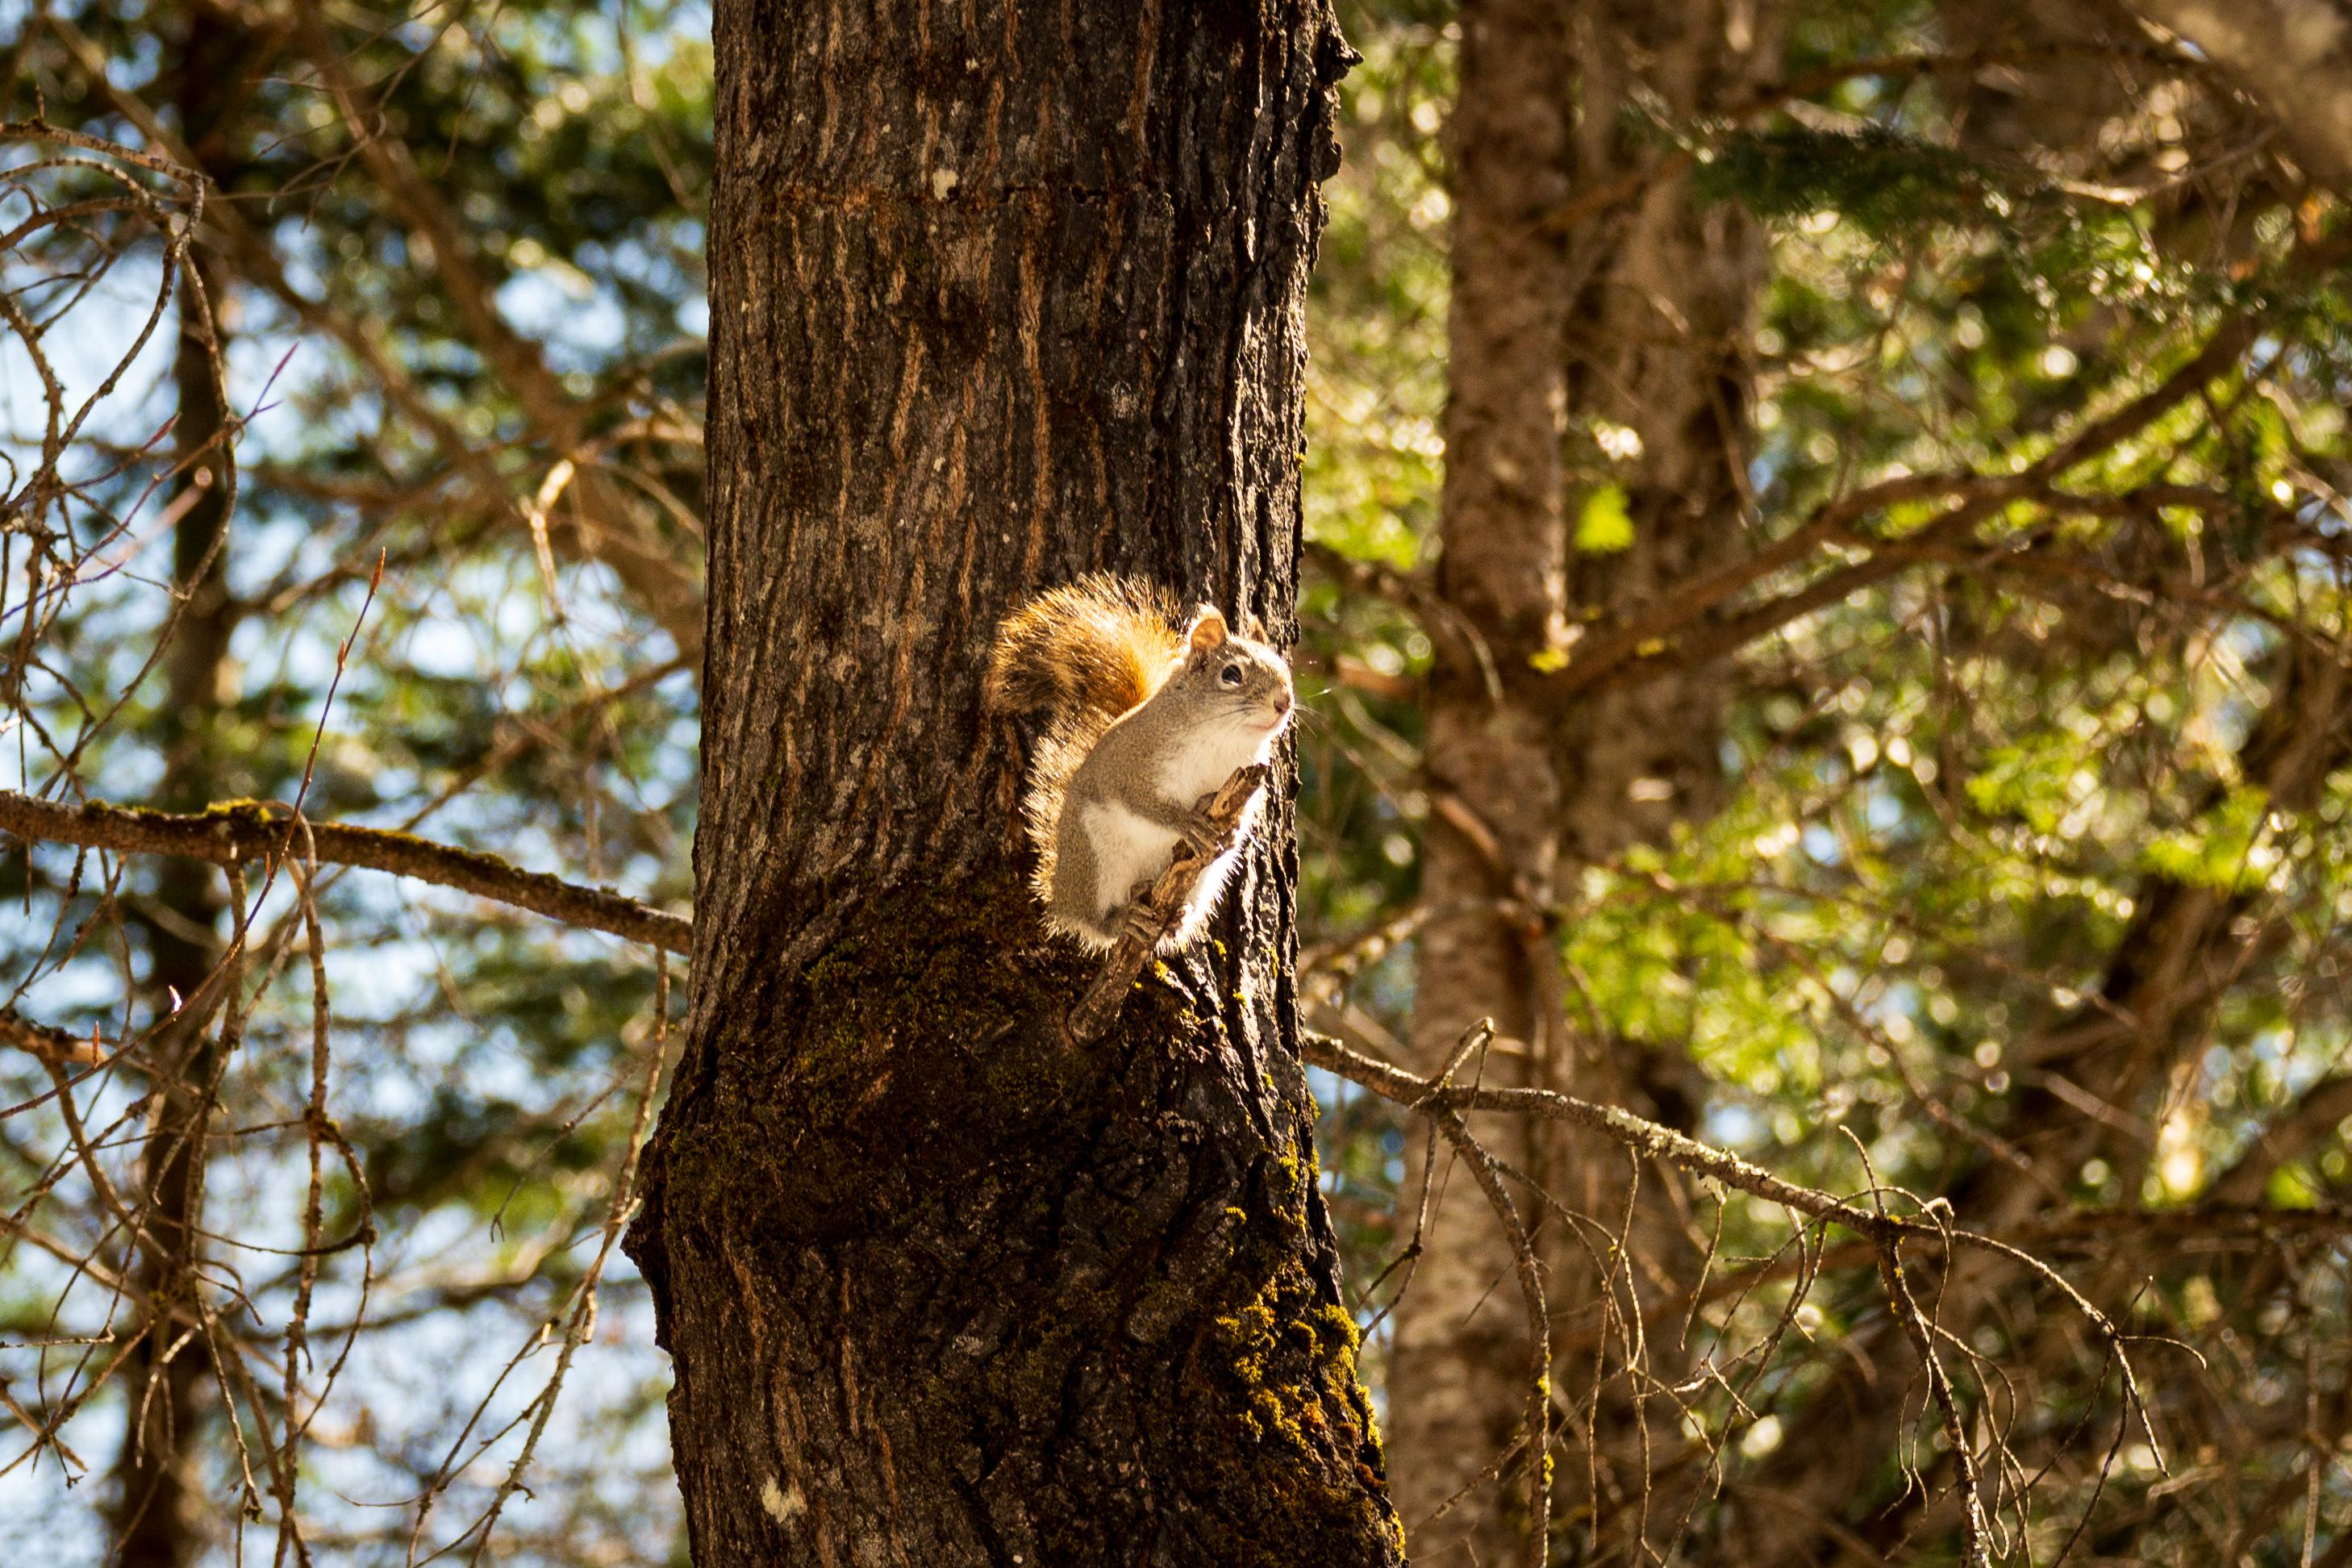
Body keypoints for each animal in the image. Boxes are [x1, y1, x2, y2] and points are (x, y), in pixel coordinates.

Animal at [985, 574, 1295, 952]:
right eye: (1232, 674)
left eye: (1284, 668)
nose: (1284, 702)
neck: (1224, 740)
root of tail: (1062, 897)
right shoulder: (1131, 766)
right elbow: (1142, 802)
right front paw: (1186, 822)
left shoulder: (1248, 782)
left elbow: (1241, 815)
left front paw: (1232, 832)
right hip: (1096, 864)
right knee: (1098, 923)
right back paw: (1123, 918)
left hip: (1203, 881)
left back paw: (1177, 918)